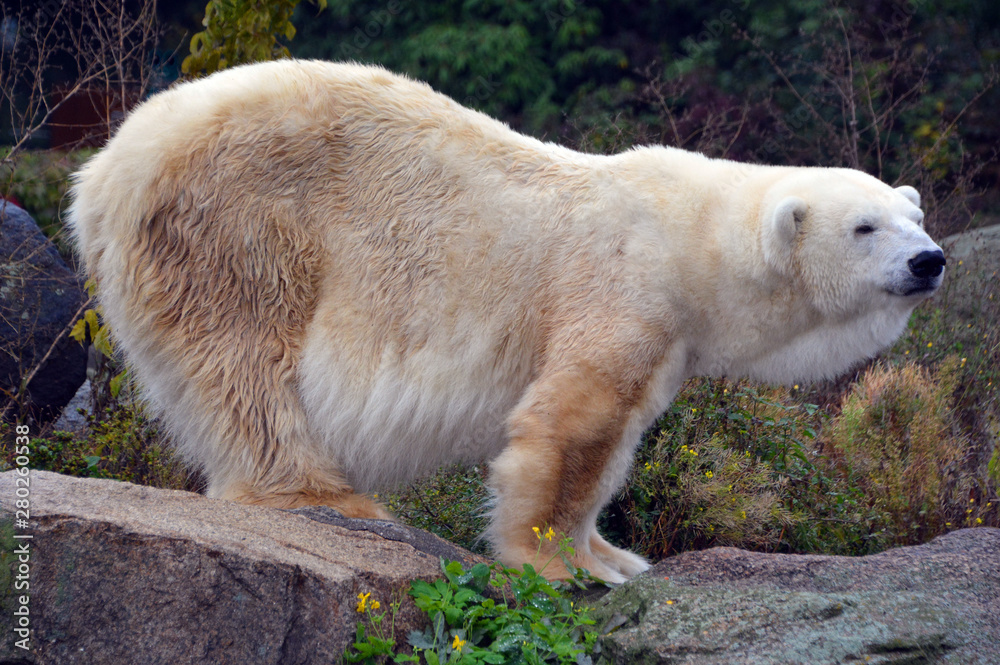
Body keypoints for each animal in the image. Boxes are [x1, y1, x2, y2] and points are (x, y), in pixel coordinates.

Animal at [67, 60, 945, 583]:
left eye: (915, 216)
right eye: (865, 226)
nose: (930, 261)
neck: (688, 235)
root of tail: (103, 174)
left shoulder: (670, 337)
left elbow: (617, 442)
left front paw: (617, 556)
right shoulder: (621, 287)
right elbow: (573, 422)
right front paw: (560, 564)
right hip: (238, 227)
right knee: (247, 362)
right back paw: (328, 496)